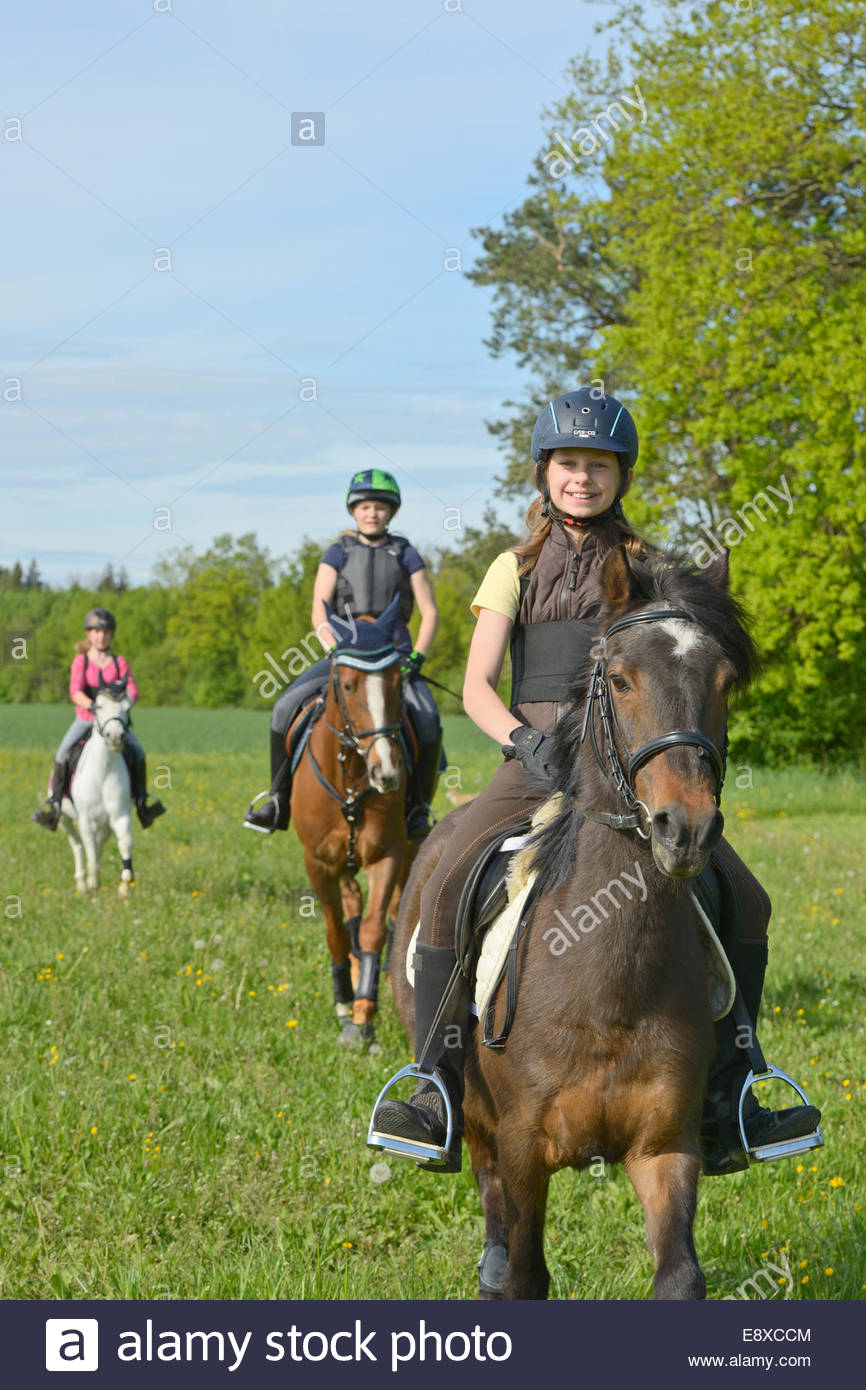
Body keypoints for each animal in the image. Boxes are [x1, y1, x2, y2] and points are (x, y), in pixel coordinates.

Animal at [58, 673, 136, 898]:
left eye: (127, 706)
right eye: (98, 706)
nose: (115, 737)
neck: (103, 770)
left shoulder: (119, 816)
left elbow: (124, 842)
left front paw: (124, 885)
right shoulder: (85, 820)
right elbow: (89, 850)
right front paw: (92, 884)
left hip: (105, 824)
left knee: (99, 843)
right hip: (64, 819)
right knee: (77, 845)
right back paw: (82, 883)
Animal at [292, 595, 413, 1049]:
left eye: (398, 682)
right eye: (347, 686)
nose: (387, 772)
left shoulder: (388, 855)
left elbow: (376, 928)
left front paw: (364, 1013)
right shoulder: (318, 863)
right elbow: (337, 933)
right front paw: (345, 1003)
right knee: (351, 911)